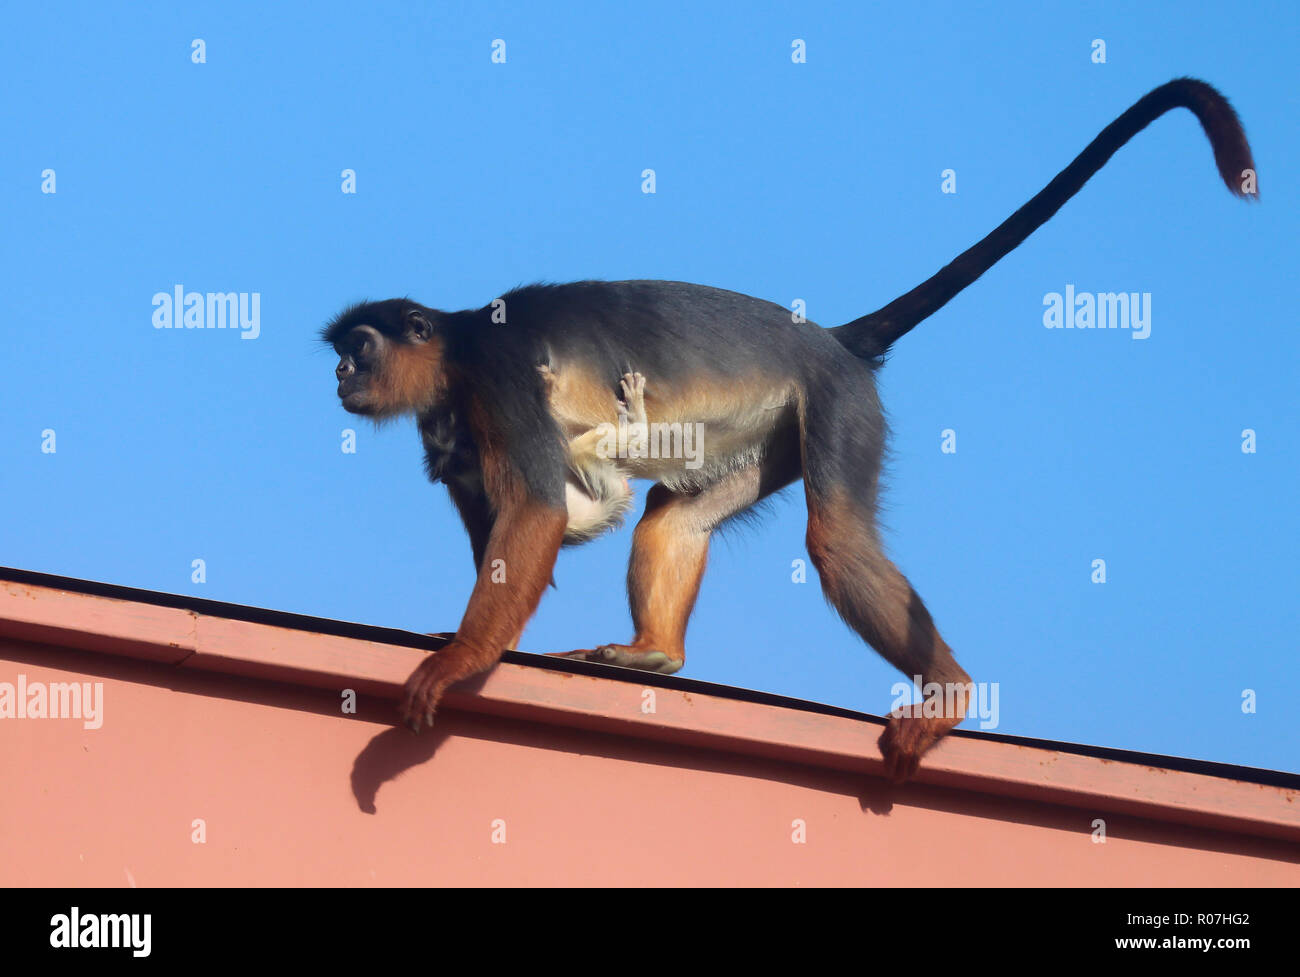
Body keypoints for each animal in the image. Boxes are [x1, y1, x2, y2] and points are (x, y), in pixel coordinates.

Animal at [323, 79, 1256, 781]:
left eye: (358, 349)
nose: (339, 376)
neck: (456, 347)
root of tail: (831, 339)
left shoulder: (500, 375)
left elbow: (538, 515)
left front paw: (454, 661)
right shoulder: (452, 421)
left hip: (836, 404)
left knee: (833, 540)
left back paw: (949, 690)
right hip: (764, 436)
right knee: (674, 515)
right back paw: (655, 654)